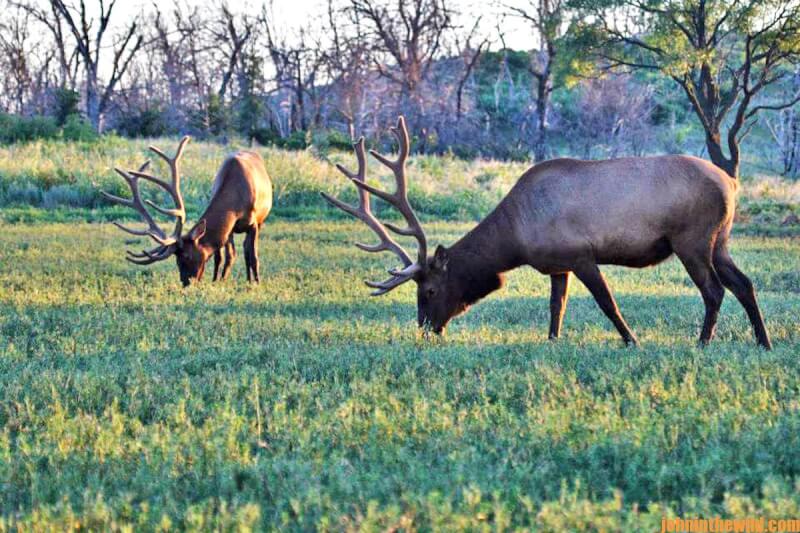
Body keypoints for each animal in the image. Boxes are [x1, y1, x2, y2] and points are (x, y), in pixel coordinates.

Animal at [100, 137, 272, 286]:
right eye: (177, 260)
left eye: (187, 256)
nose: (186, 283)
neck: (235, 202)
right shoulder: (229, 227)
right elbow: (224, 256)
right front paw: (217, 282)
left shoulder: (254, 223)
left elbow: (253, 256)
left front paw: (257, 283)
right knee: (234, 252)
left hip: (260, 221)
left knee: (248, 251)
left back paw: (251, 280)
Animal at [322, 116, 772, 349]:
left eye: (429, 290)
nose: (426, 328)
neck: (516, 240)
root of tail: (732, 184)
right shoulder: (559, 265)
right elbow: (557, 307)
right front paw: (553, 341)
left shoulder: (581, 254)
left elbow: (607, 303)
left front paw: (632, 340)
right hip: (721, 240)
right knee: (744, 283)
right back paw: (762, 341)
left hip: (691, 239)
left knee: (714, 290)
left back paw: (703, 343)